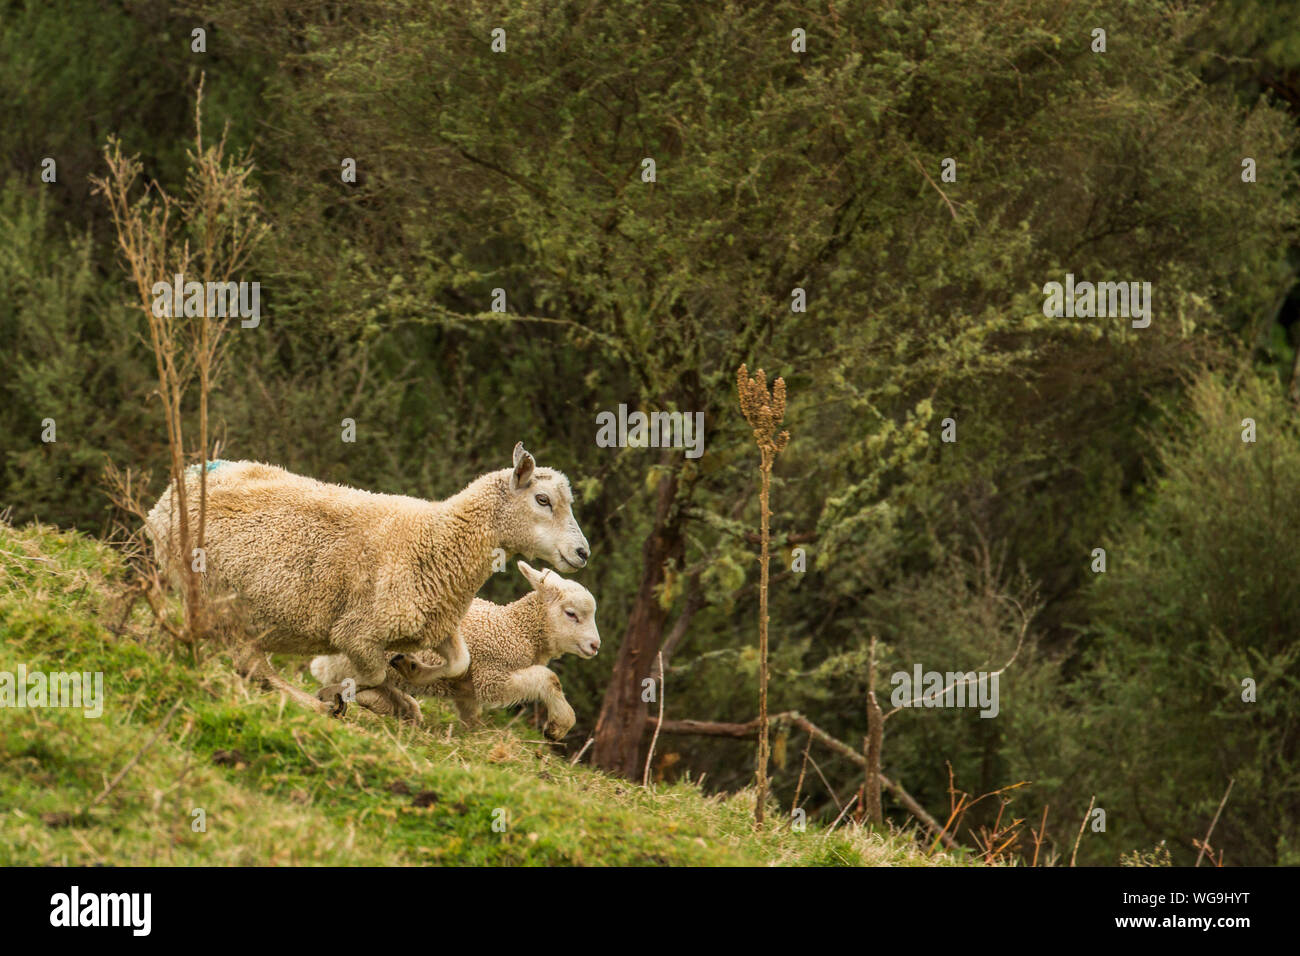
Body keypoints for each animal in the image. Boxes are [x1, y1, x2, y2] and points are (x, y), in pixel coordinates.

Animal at [143, 443, 590, 721]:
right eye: (543, 500)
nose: (583, 552)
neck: (437, 539)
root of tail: (177, 483)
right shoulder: (356, 633)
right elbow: (372, 675)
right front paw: (339, 692)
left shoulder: (437, 624)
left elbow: (458, 661)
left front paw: (410, 667)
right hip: (218, 601)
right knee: (250, 665)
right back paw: (318, 705)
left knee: (251, 665)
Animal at [310, 561, 599, 738]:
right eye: (571, 613)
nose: (595, 646)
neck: (517, 629)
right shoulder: (492, 675)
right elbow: (549, 679)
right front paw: (559, 725)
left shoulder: (469, 692)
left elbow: (471, 718)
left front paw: (474, 736)